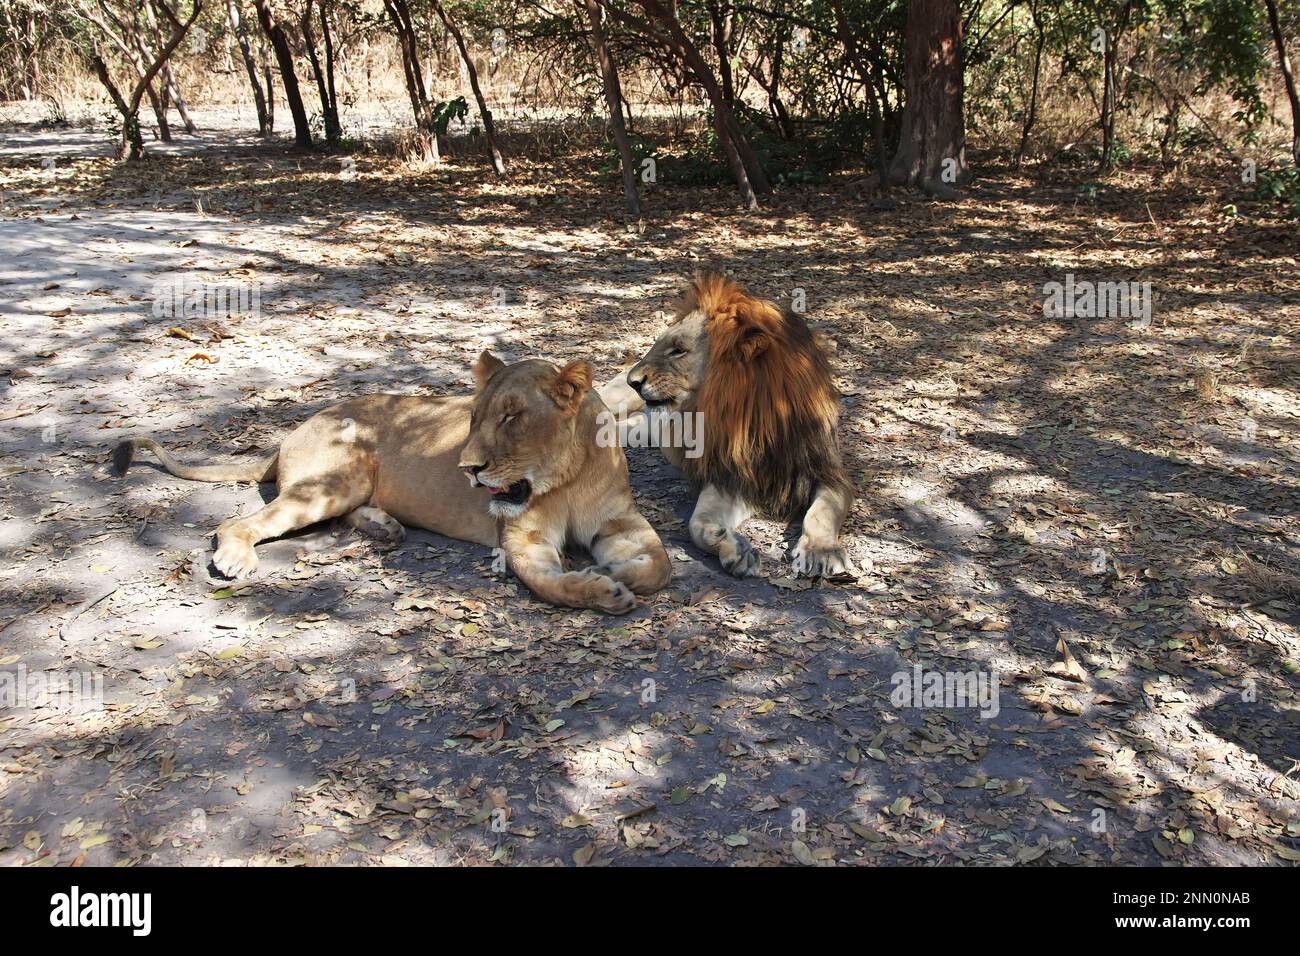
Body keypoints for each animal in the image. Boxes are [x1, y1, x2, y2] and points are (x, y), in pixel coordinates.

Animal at [113, 352, 671, 615]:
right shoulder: (522, 538)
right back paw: (235, 557)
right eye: (474, 418)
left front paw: (619, 573)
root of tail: (292, 431)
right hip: (339, 475)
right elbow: (550, 584)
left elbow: (660, 566)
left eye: (512, 418)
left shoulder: (619, 519)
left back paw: (385, 527)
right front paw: (600, 590)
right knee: (238, 522)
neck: (564, 477)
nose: (467, 469)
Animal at [598, 274, 854, 578]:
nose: (633, 382)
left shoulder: (827, 474)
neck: (756, 421)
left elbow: (822, 512)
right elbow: (698, 523)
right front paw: (735, 548)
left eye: (678, 350)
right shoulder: (730, 477)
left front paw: (821, 550)